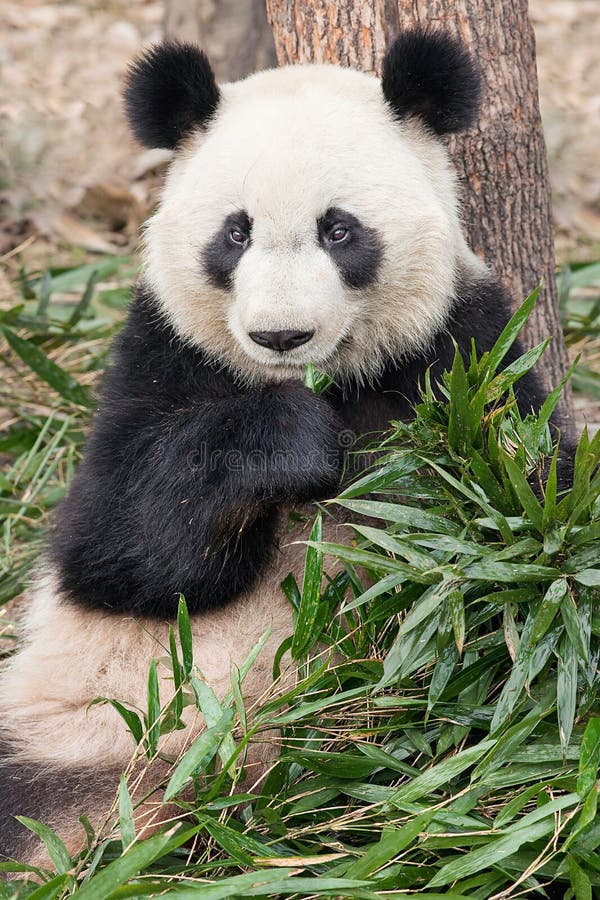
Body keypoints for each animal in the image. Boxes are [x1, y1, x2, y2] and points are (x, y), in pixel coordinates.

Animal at [1, 28, 556, 868]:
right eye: (236, 232)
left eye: (340, 229)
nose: (281, 336)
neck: (328, 380)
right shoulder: (161, 352)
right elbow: (114, 546)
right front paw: (296, 444)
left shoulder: (468, 352)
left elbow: (523, 504)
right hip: (77, 722)